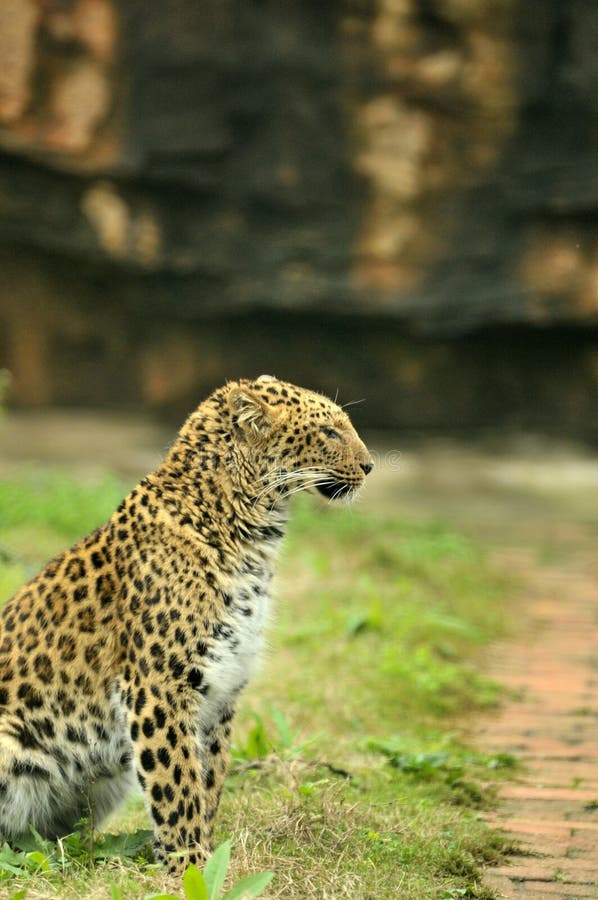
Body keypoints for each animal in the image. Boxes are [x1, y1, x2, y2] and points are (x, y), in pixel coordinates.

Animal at [0, 376, 373, 873]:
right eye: (330, 433)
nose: (370, 466)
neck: (252, 531)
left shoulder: (222, 688)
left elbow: (207, 778)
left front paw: (206, 856)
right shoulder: (159, 685)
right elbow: (174, 780)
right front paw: (188, 862)